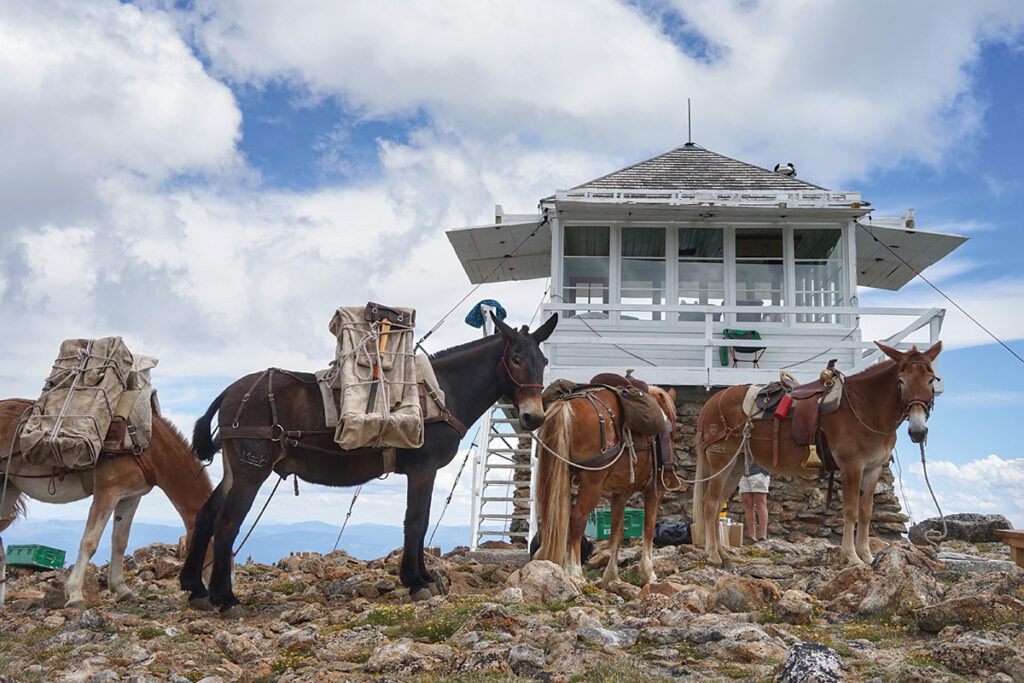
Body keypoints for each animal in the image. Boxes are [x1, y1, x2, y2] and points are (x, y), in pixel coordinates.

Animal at [0, 398, 214, 607]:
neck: (146, 448)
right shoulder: (107, 492)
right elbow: (89, 542)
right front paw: (75, 594)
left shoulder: (130, 497)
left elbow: (120, 541)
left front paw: (121, 589)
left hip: (9, 486)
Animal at [180, 313, 557, 617]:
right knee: (227, 525)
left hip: (235, 470)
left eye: (543, 360)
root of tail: (232, 390)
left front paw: (421, 576)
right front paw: (417, 581)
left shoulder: (424, 471)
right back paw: (226, 599)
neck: (442, 393)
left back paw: (195, 588)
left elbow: (418, 523)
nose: (533, 417)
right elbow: (417, 522)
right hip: (251, 471)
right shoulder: (424, 468)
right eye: (516, 359)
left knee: (206, 516)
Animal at [534, 379, 678, 587]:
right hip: (593, 484)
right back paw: (575, 571)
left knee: (552, 517)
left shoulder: (621, 492)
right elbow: (649, 528)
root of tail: (566, 404)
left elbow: (617, 531)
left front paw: (611, 575)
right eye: (671, 430)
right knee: (577, 518)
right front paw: (648, 573)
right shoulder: (654, 491)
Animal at [692, 341, 942, 569]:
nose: (918, 431)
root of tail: (712, 402)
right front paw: (851, 557)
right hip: (722, 462)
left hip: (735, 466)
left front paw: (867, 555)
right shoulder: (852, 466)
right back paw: (713, 555)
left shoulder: (873, 470)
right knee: (710, 503)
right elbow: (851, 511)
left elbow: (866, 513)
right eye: (901, 380)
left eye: (931, 380)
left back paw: (723, 553)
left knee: (718, 505)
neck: (865, 407)